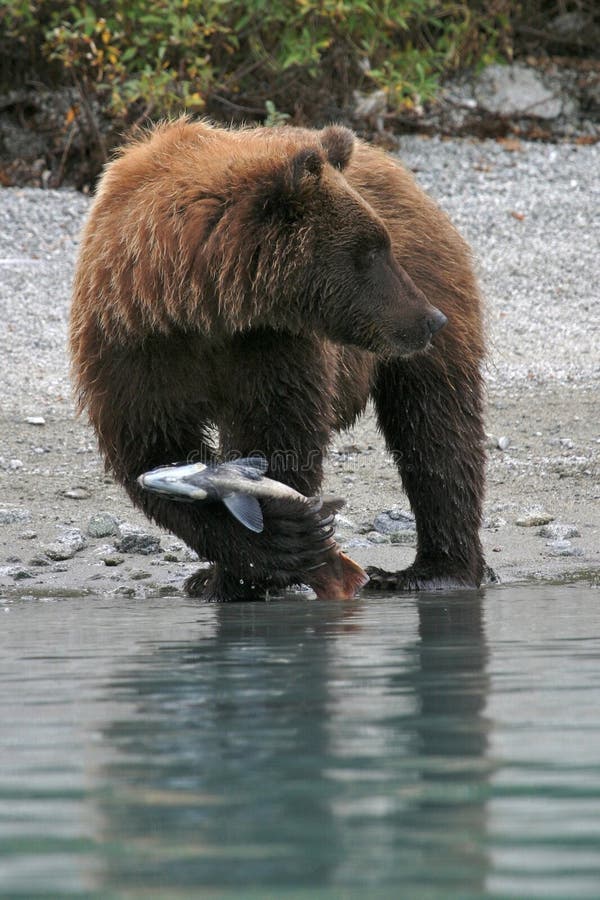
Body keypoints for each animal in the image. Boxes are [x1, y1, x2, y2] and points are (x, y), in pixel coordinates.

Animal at [69, 117, 488, 601]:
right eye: (370, 251)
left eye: (381, 243)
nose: (430, 319)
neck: (205, 308)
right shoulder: (133, 346)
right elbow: (151, 446)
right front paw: (266, 551)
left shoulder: (273, 346)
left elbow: (279, 434)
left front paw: (258, 563)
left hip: (435, 286)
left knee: (437, 428)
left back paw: (432, 570)